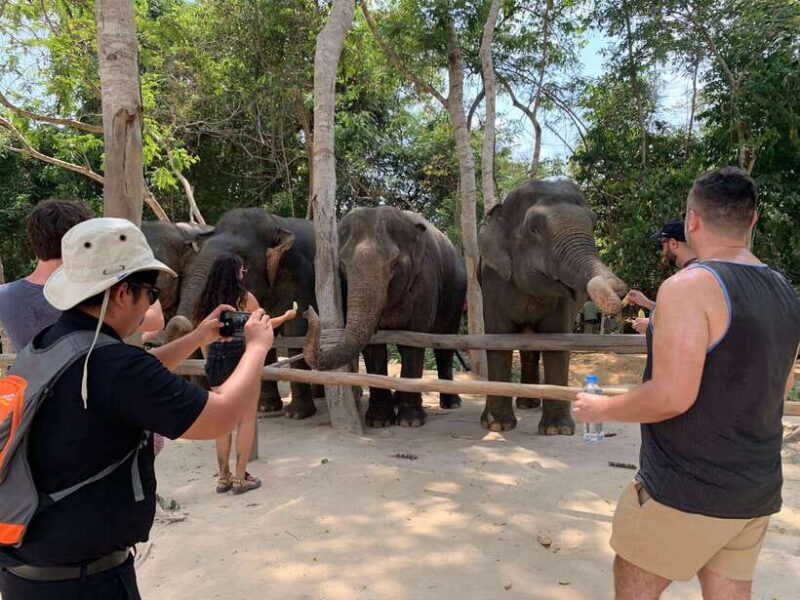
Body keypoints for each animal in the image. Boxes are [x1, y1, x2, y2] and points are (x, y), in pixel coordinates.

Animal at [163, 208, 321, 419]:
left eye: (241, 259)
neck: (276, 223)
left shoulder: (301, 276)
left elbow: (296, 330)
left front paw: (296, 414)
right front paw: (266, 407)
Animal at [304, 206, 466, 428]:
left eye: (395, 263)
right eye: (342, 266)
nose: (307, 312)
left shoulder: (425, 282)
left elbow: (414, 341)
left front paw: (410, 421)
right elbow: (373, 348)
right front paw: (378, 421)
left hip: (455, 299)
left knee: (445, 342)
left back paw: (451, 403)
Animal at [478, 179, 627, 435]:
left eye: (593, 224)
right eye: (535, 230)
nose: (620, 290)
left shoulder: (564, 301)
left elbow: (557, 342)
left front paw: (557, 430)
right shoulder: (492, 281)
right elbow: (498, 340)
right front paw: (497, 426)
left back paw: (529, 403)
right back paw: (526, 404)